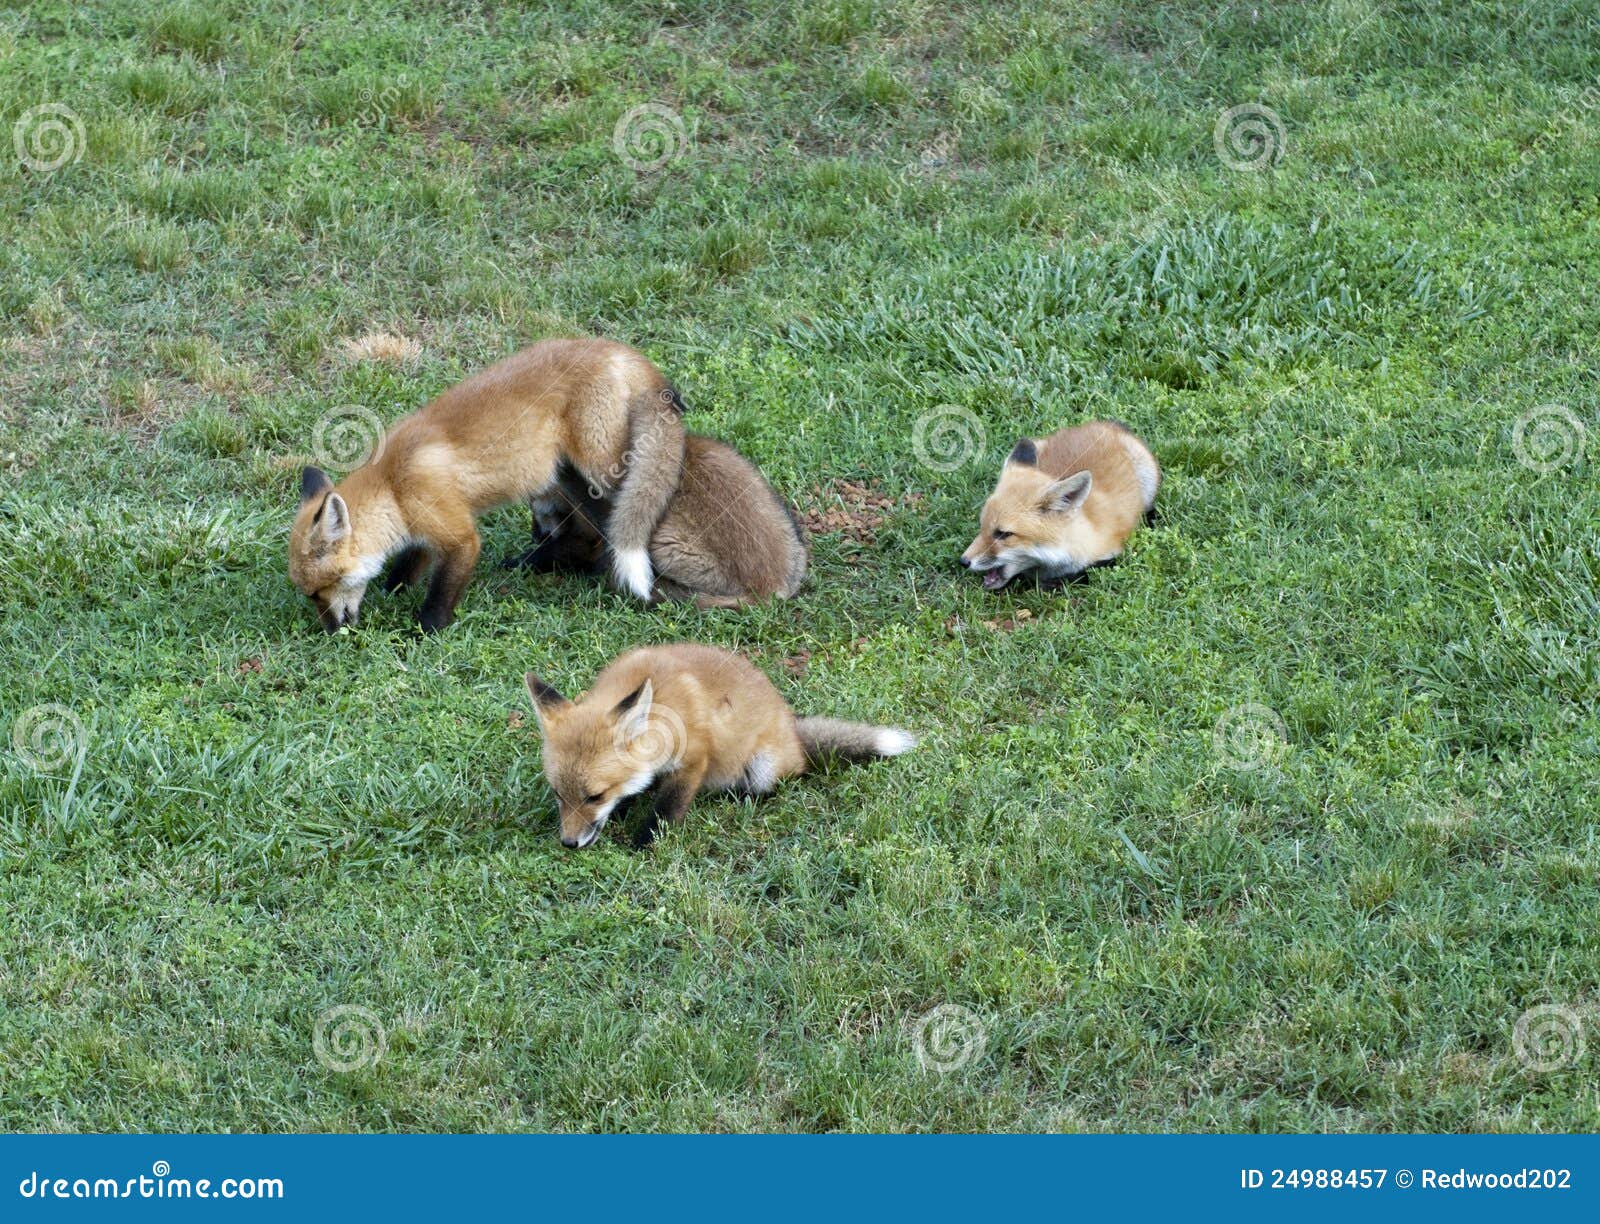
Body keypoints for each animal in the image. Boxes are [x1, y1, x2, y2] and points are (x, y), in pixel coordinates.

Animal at [289, 337, 686, 633]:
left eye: (316, 593)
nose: (331, 633)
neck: (392, 484)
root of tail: (614, 348)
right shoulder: (417, 527)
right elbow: (406, 566)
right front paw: (392, 592)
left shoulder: (457, 534)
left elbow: (440, 594)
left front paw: (424, 633)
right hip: (567, 476)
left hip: (600, 468)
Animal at [504, 433, 808, 608]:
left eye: (532, 502)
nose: (535, 534)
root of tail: (771, 586)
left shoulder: (594, 532)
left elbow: (560, 550)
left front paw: (519, 562)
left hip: (659, 539)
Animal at [524, 643, 915, 849]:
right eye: (558, 794)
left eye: (594, 796)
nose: (568, 843)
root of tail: (792, 727)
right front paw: (625, 807)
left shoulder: (694, 759)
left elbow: (667, 808)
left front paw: (644, 842)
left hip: (762, 767)